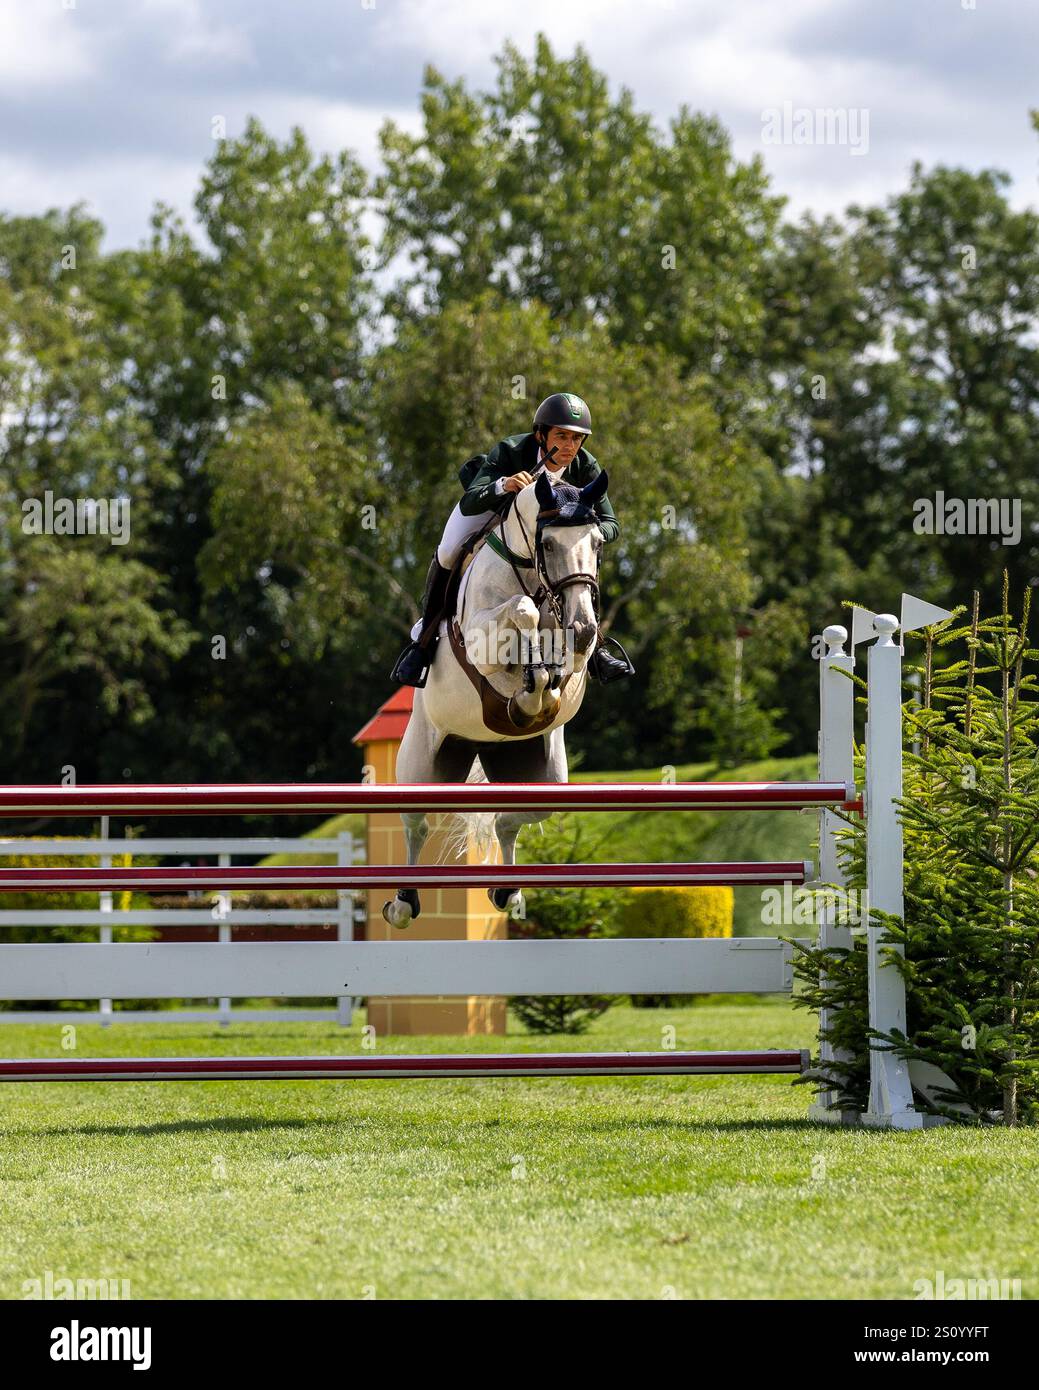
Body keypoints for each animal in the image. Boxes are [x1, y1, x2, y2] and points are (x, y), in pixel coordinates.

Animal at [382, 468, 608, 928]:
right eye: (548, 544)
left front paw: (537, 687)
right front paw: (530, 674)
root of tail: (479, 744)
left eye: (597, 543)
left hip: (539, 774)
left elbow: (554, 664)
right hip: (422, 765)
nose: (583, 628)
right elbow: (523, 610)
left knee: (511, 820)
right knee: (416, 825)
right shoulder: (481, 641)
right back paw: (402, 902)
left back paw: (507, 890)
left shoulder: (574, 663)